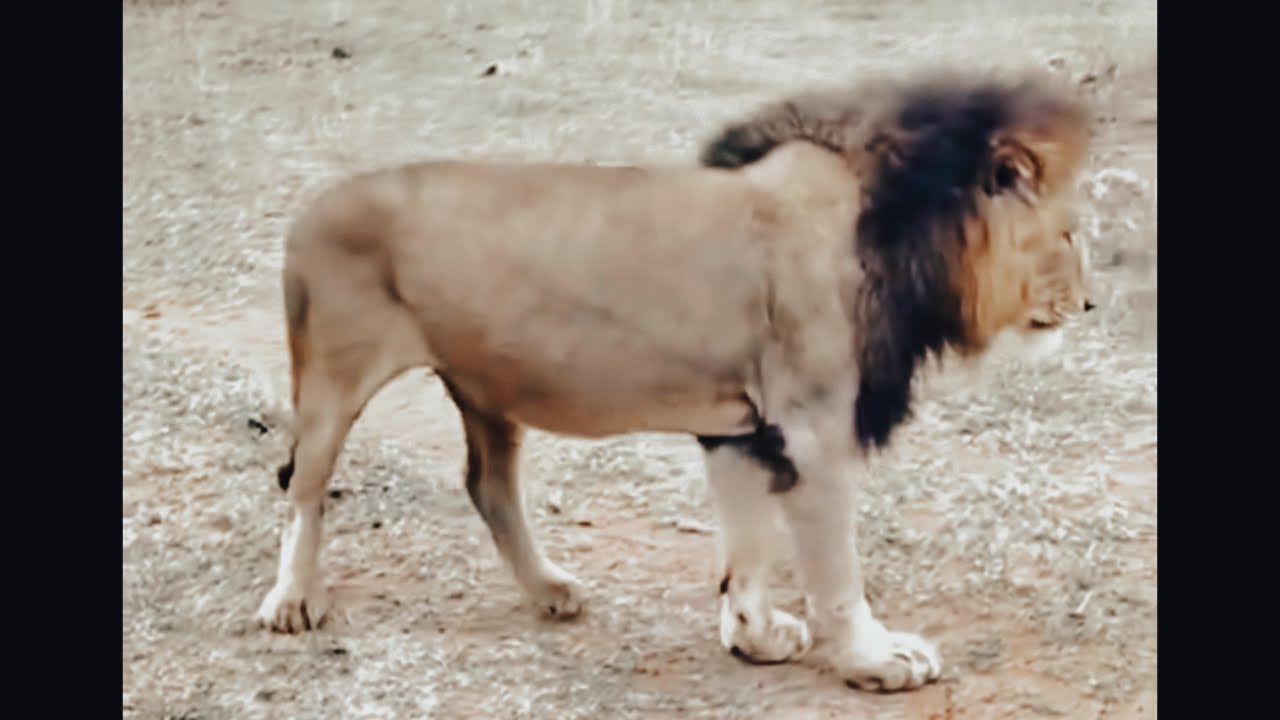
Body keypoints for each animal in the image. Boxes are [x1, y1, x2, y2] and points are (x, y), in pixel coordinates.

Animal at [255, 72, 1093, 693]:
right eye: (1069, 233)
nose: (1089, 304)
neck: (897, 228)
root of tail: (306, 210)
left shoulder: (744, 427)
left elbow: (748, 545)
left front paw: (756, 637)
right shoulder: (816, 427)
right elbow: (834, 570)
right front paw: (874, 658)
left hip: (482, 386)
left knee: (487, 484)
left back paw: (549, 589)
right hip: (332, 377)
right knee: (305, 488)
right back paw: (291, 601)